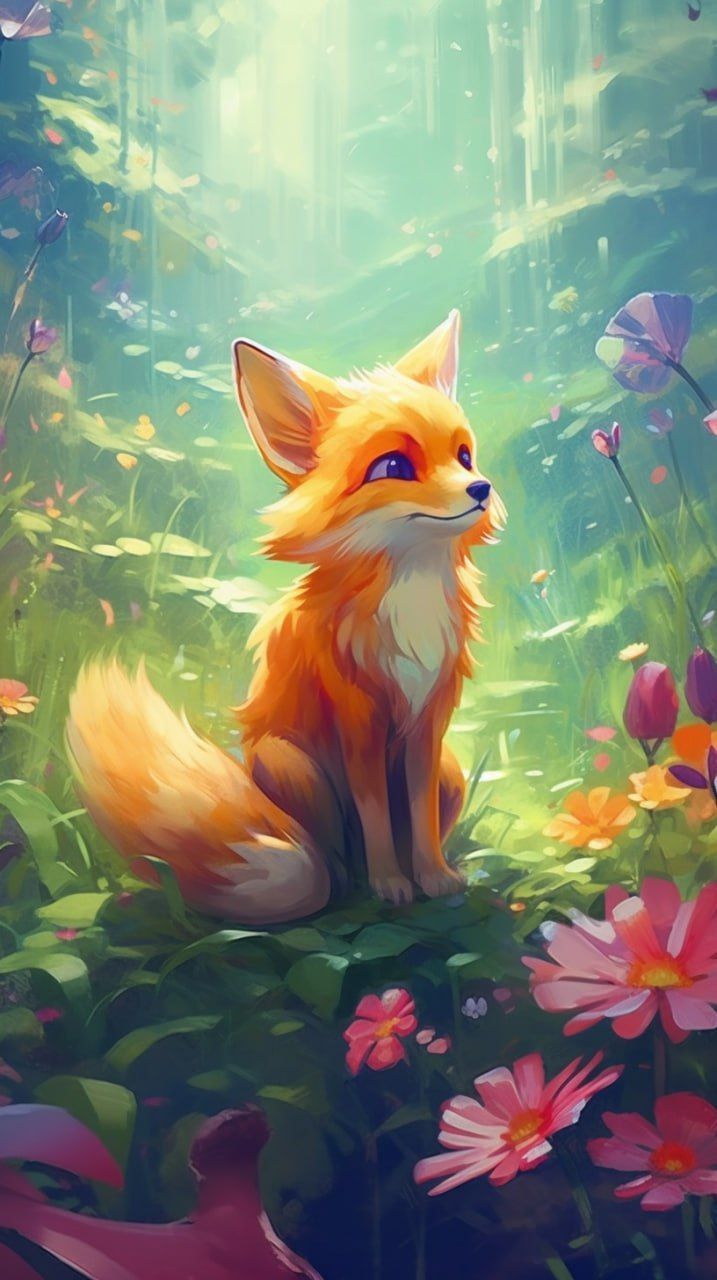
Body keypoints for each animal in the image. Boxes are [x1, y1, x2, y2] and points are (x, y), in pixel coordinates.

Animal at [66, 309, 504, 925]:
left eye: (463, 456)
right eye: (394, 465)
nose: (481, 488)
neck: (409, 600)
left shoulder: (428, 722)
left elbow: (418, 818)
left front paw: (434, 877)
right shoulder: (357, 720)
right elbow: (374, 815)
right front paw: (391, 884)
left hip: (452, 772)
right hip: (292, 766)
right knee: (334, 857)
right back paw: (351, 887)